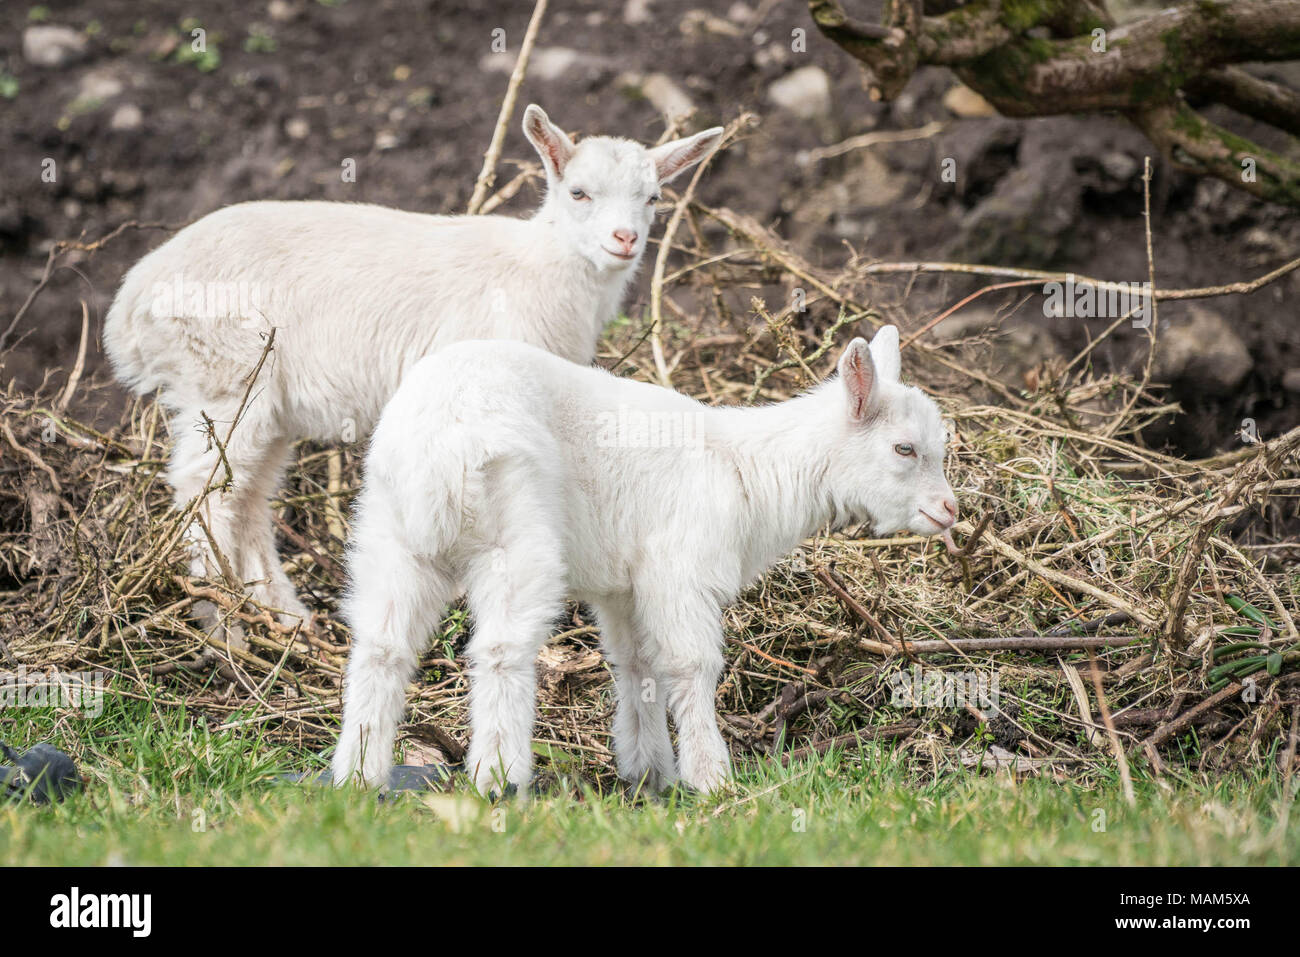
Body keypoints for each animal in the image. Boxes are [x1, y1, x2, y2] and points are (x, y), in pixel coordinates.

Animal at [103, 105, 723, 623]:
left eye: (653, 198)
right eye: (578, 193)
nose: (625, 238)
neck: (541, 270)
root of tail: (128, 309)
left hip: (260, 398)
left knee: (247, 496)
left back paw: (282, 616)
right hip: (226, 373)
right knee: (204, 488)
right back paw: (223, 618)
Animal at [333, 326, 958, 795]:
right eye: (905, 448)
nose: (949, 510)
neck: (746, 471)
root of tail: (439, 448)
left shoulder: (624, 586)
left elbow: (637, 665)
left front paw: (648, 775)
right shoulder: (680, 569)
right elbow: (690, 665)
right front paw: (710, 779)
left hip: (390, 532)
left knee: (382, 646)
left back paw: (357, 778)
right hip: (513, 530)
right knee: (501, 649)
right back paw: (499, 778)